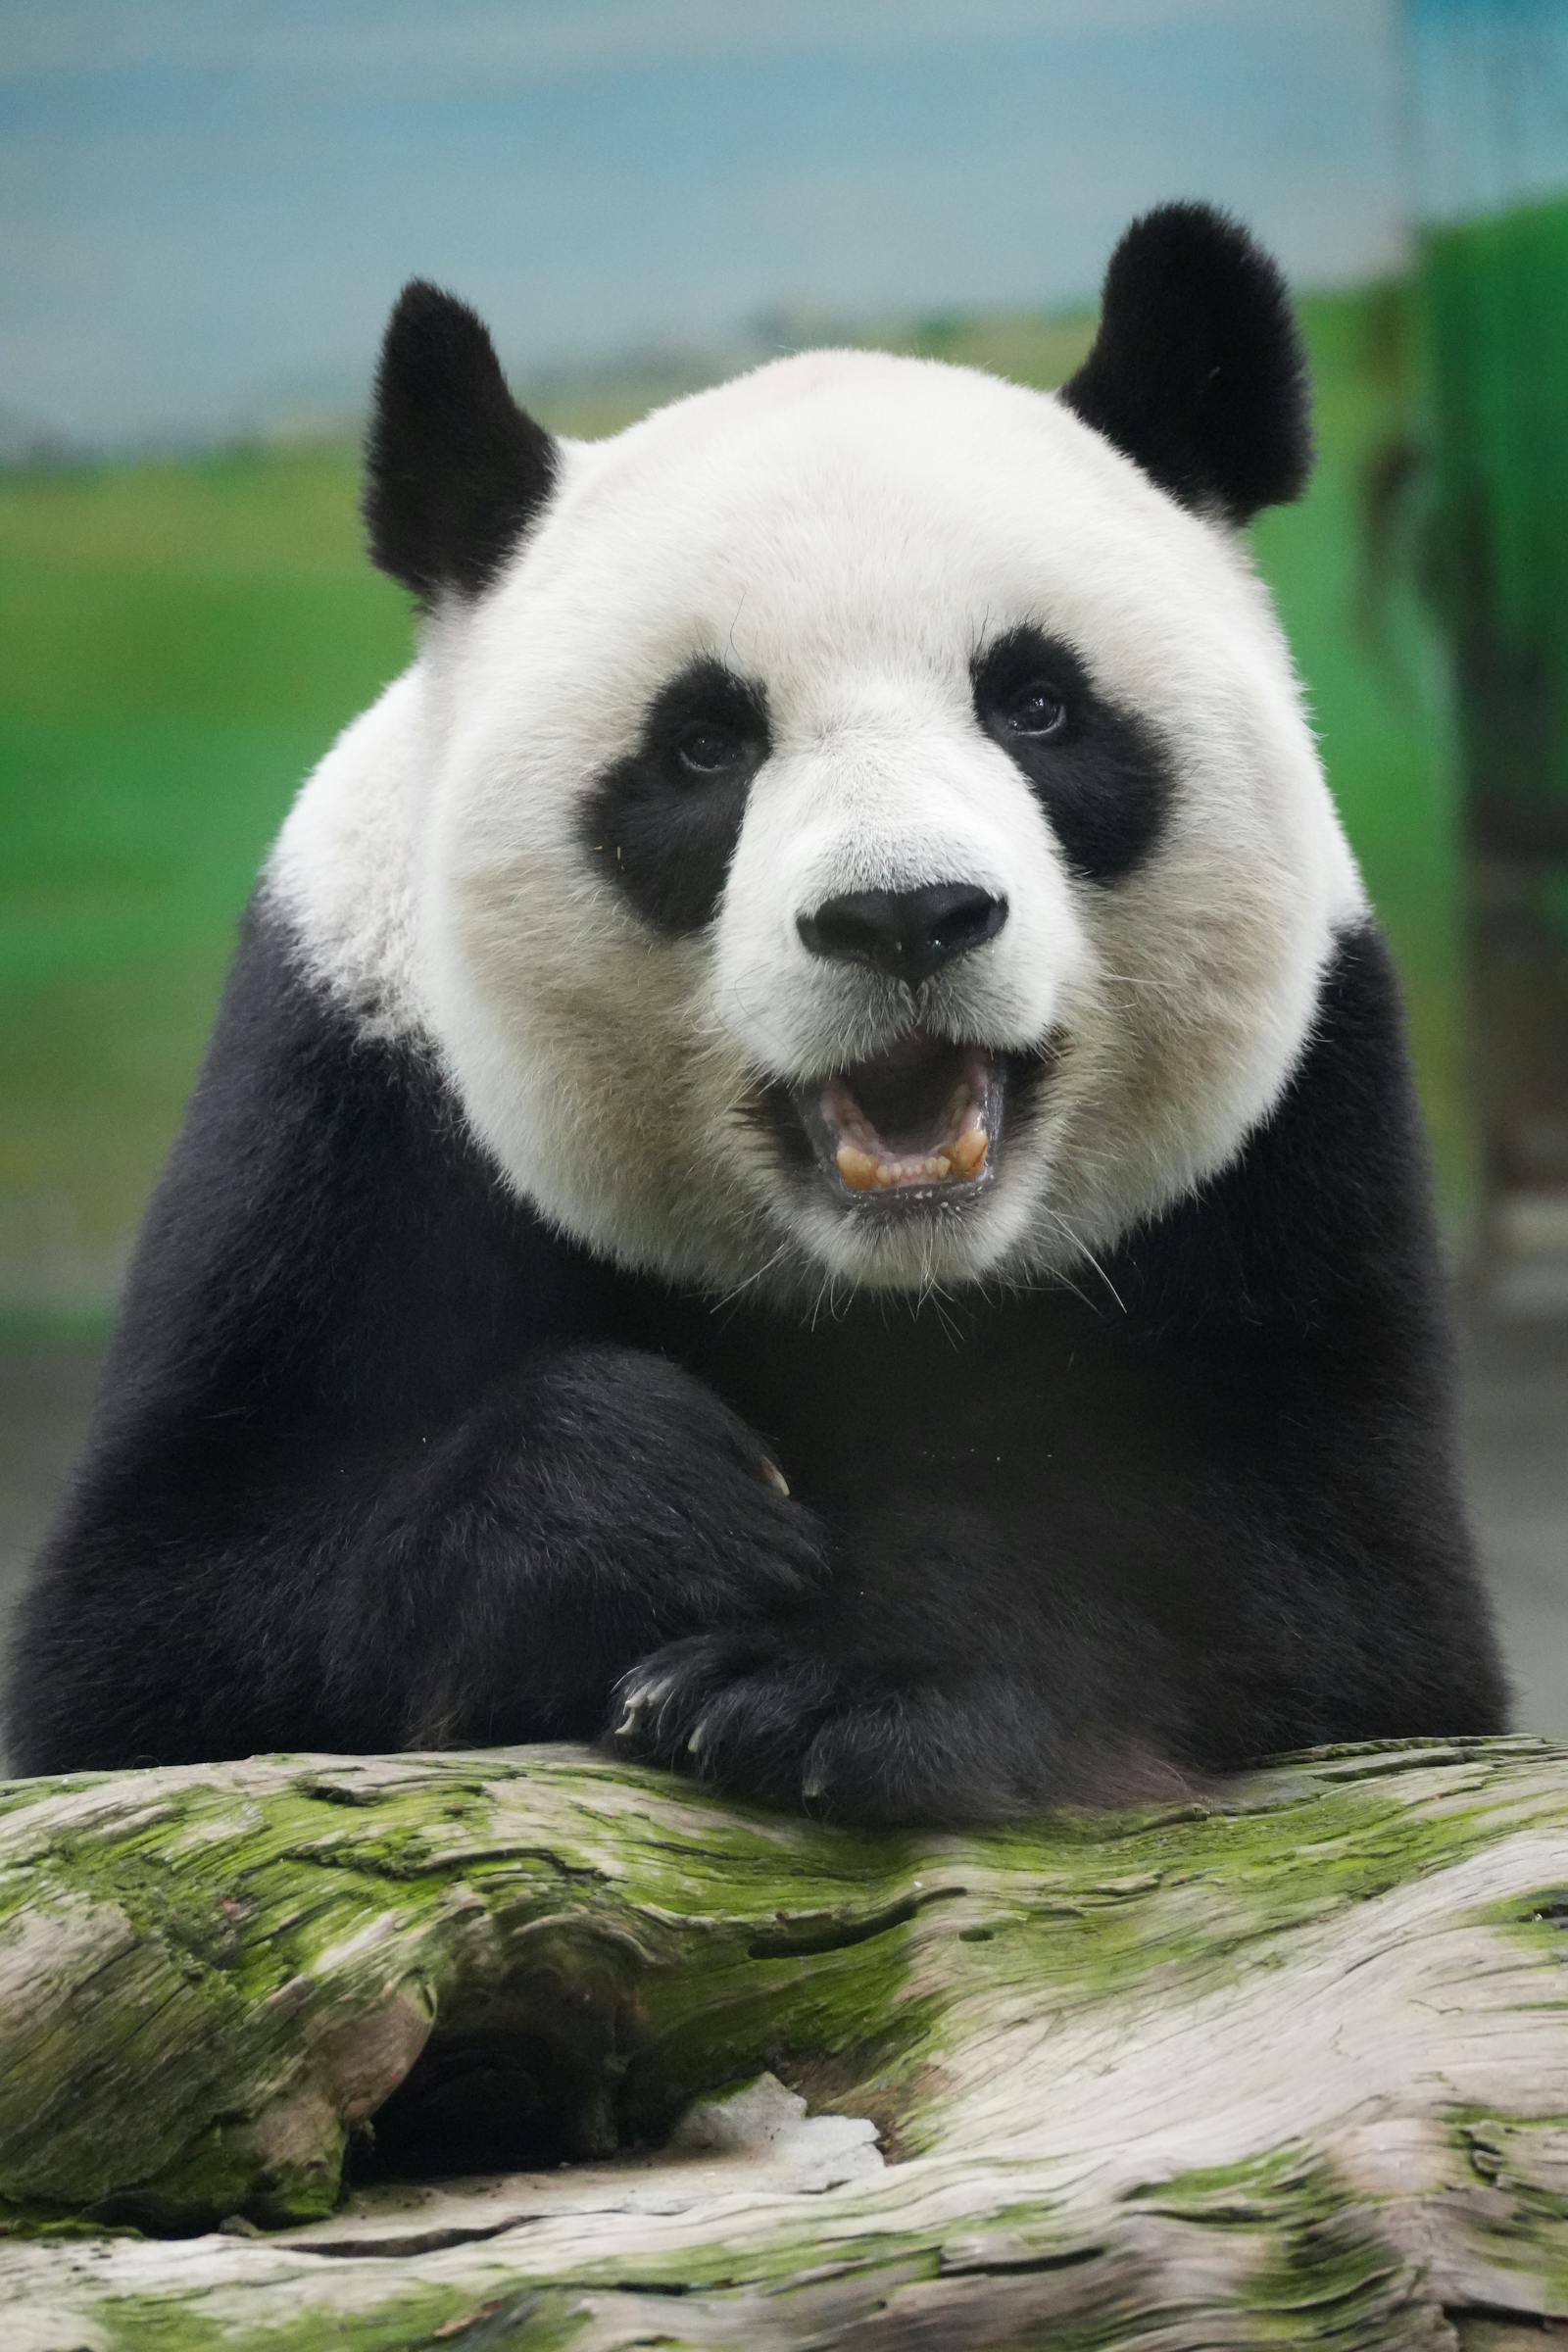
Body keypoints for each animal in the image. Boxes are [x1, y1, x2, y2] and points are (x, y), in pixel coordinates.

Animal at [5, 204, 1507, 1820]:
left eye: (1037, 705)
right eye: (703, 746)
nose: (902, 916)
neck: (884, 1282)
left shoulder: (1296, 1136)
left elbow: (1316, 1577)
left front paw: (824, 1684)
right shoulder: (346, 1098)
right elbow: (159, 1629)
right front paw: (655, 1504)